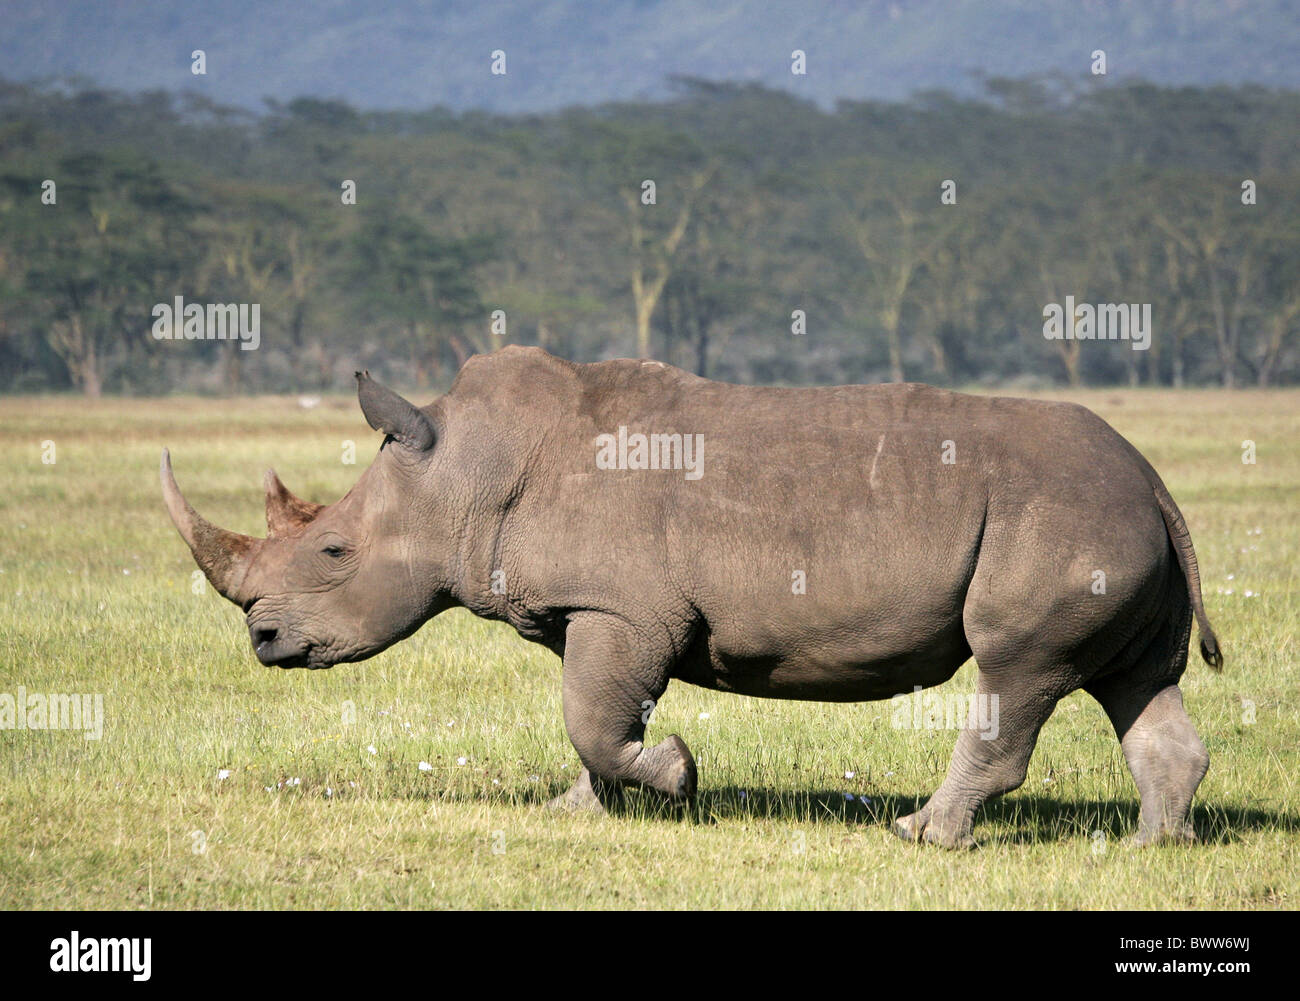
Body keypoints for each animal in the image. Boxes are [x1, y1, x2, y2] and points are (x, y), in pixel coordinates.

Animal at [161, 345, 1222, 848]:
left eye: (333, 550)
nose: (262, 639)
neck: (466, 464)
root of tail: (1155, 479)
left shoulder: (624, 607)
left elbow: (597, 721)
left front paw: (677, 777)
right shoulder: (592, 611)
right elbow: (591, 721)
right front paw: (577, 811)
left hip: (1064, 519)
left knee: (1015, 668)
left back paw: (923, 835)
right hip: (1112, 523)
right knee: (1134, 682)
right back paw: (1152, 846)